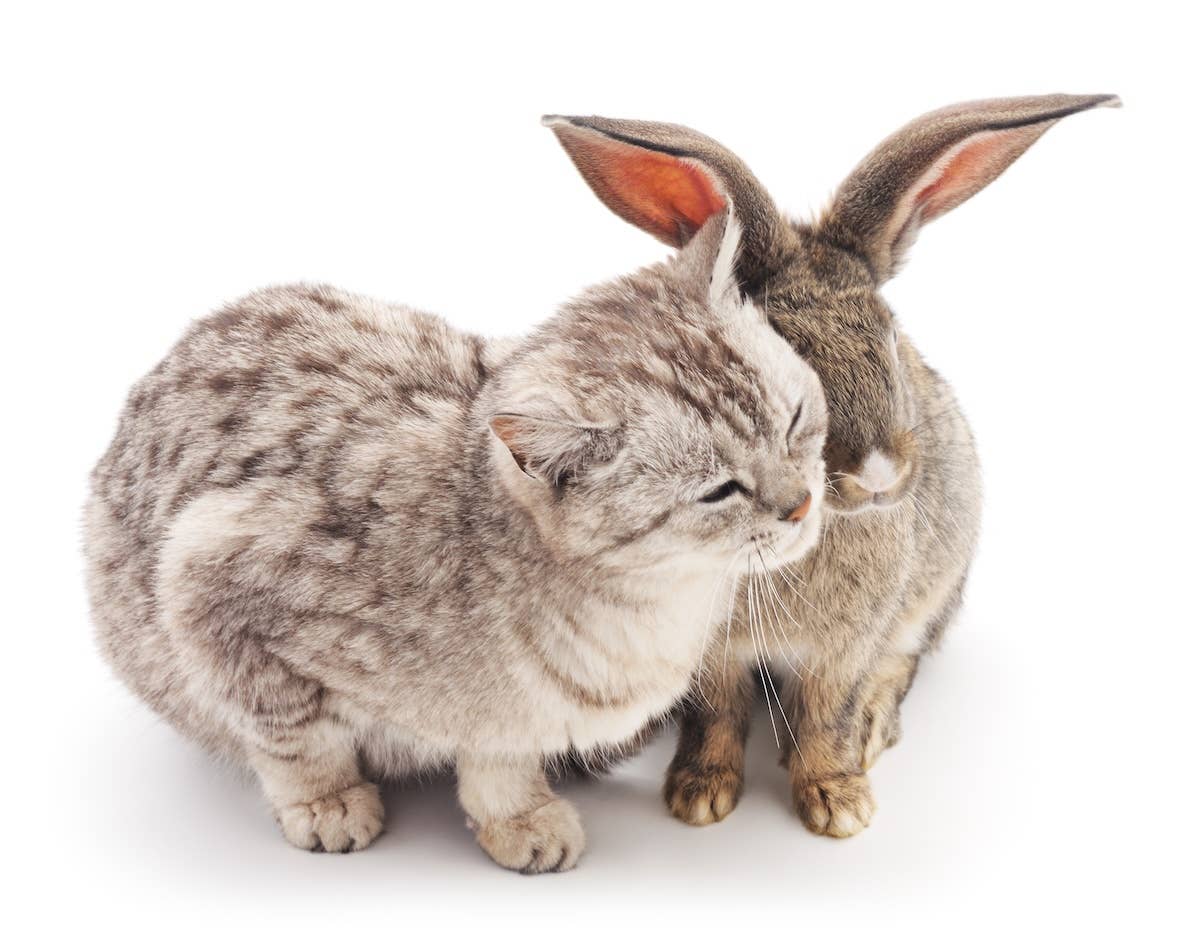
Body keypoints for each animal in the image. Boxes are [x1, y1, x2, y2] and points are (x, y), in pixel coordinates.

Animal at [83, 203, 829, 872]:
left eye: (795, 421)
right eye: (719, 491)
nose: (800, 504)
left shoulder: (507, 716)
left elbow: (498, 758)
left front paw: (517, 815)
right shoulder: (215, 580)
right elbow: (297, 739)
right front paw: (326, 801)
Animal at [546, 92, 1119, 836]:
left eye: (893, 339)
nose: (877, 475)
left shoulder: (849, 646)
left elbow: (829, 714)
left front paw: (838, 803)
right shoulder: (710, 656)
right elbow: (715, 715)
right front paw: (700, 795)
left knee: (902, 663)